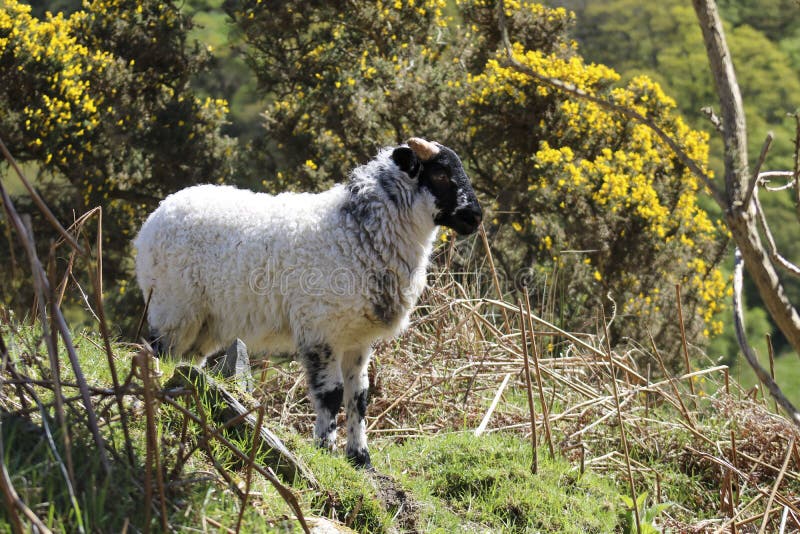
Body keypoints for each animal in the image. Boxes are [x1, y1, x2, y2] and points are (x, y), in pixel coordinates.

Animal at [134, 137, 482, 467]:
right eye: (440, 173)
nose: (475, 217)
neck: (357, 232)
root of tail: (159, 212)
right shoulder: (320, 329)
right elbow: (332, 394)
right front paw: (325, 448)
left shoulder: (358, 339)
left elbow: (359, 397)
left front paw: (360, 458)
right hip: (171, 306)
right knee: (160, 350)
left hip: (205, 323)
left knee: (187, 359)